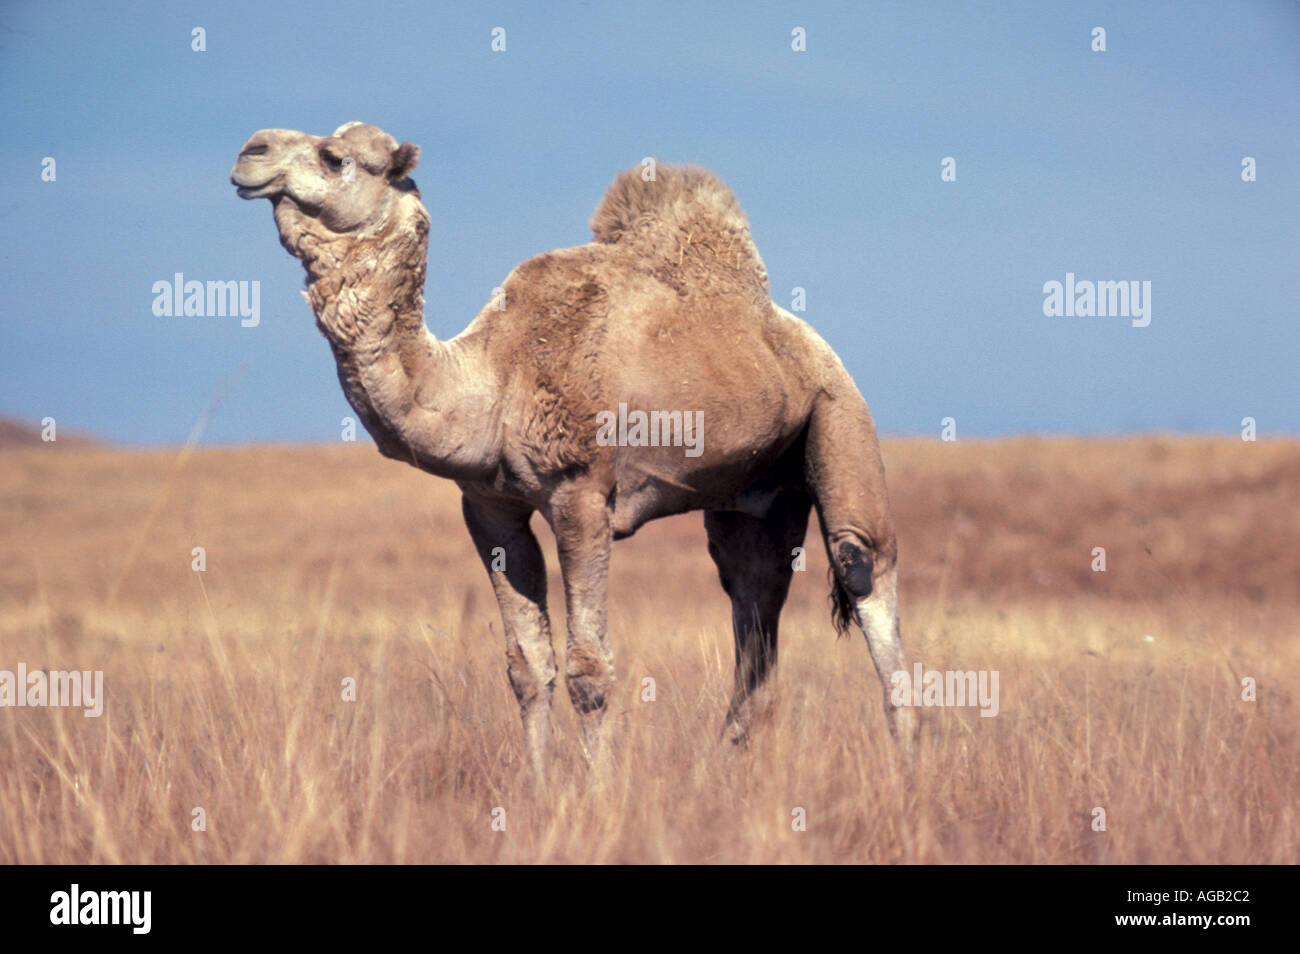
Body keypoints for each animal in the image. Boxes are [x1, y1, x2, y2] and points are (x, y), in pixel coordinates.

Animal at [230, 122, 918, 773]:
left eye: (335, 157)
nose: (250, 151)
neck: (494, 376)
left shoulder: (581, 493)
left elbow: (589, 667)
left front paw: (595, 793)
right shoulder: (489, 506)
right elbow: (526, 666)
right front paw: (537, 788)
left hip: (840, 415)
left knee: (863, 571)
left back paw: (904, 766)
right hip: (754, 493)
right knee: (753, 596)